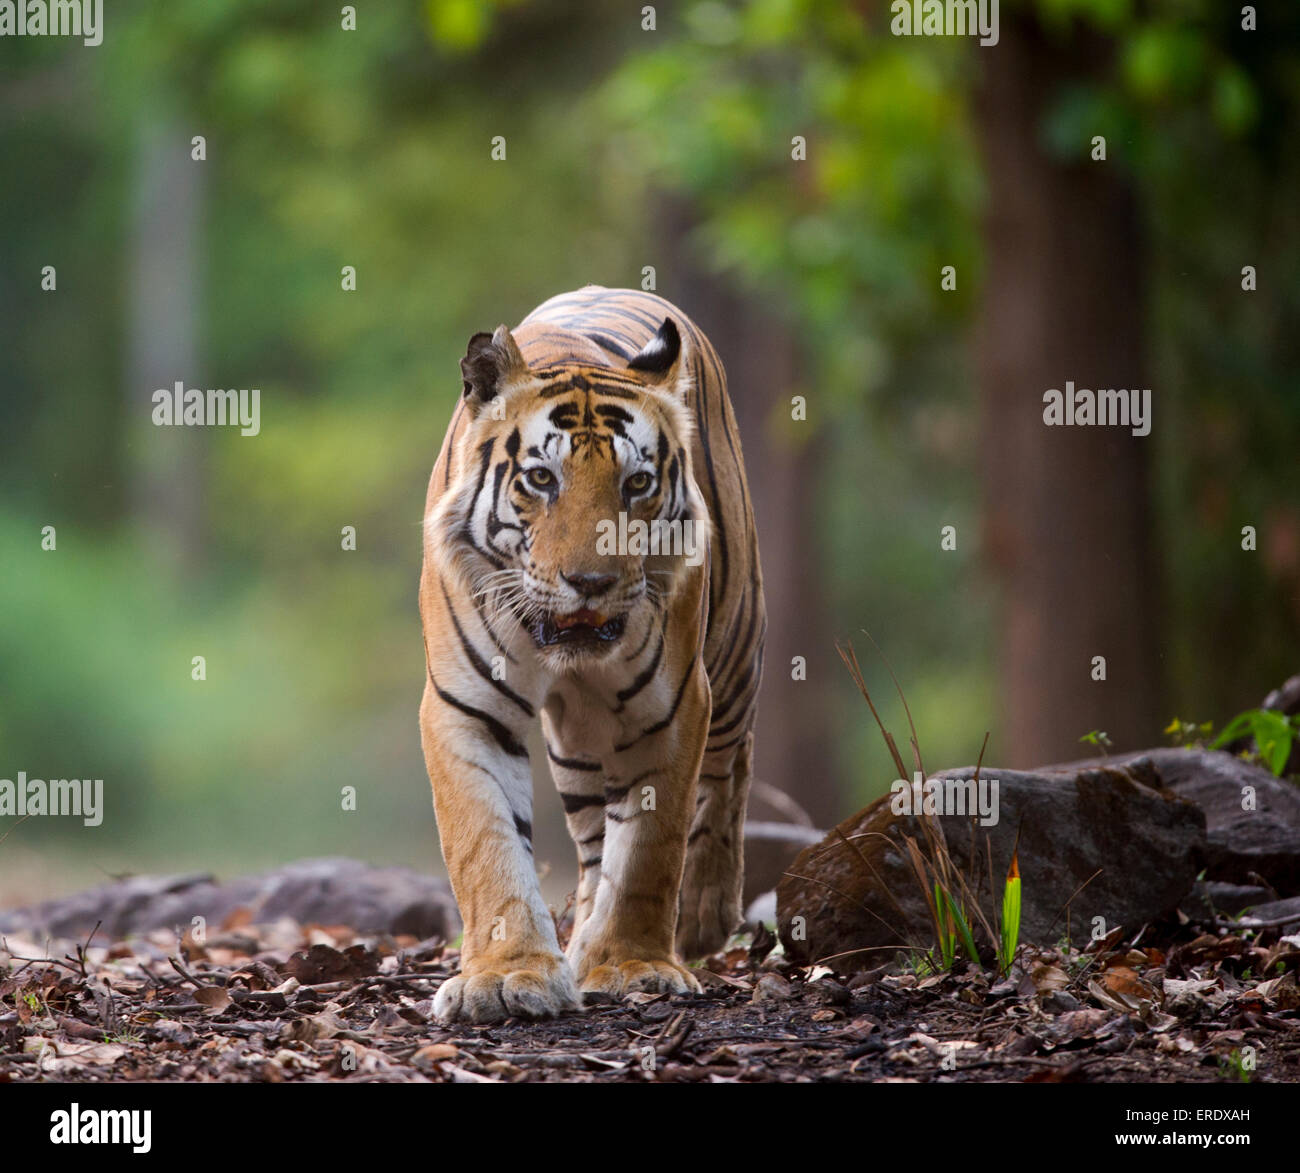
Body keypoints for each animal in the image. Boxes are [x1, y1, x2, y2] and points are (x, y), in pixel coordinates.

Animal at [418, 285, 765, 1024]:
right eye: (540, 478)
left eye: (636, 484)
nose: (592, 581)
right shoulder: (467, 706)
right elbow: (486, 843)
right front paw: (506, 975)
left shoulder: (674, 706)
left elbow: (650, 850)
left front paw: (635, 965)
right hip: (578, 743)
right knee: (593, 834)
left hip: (734, 650)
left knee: (731, 769)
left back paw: (702, 915)